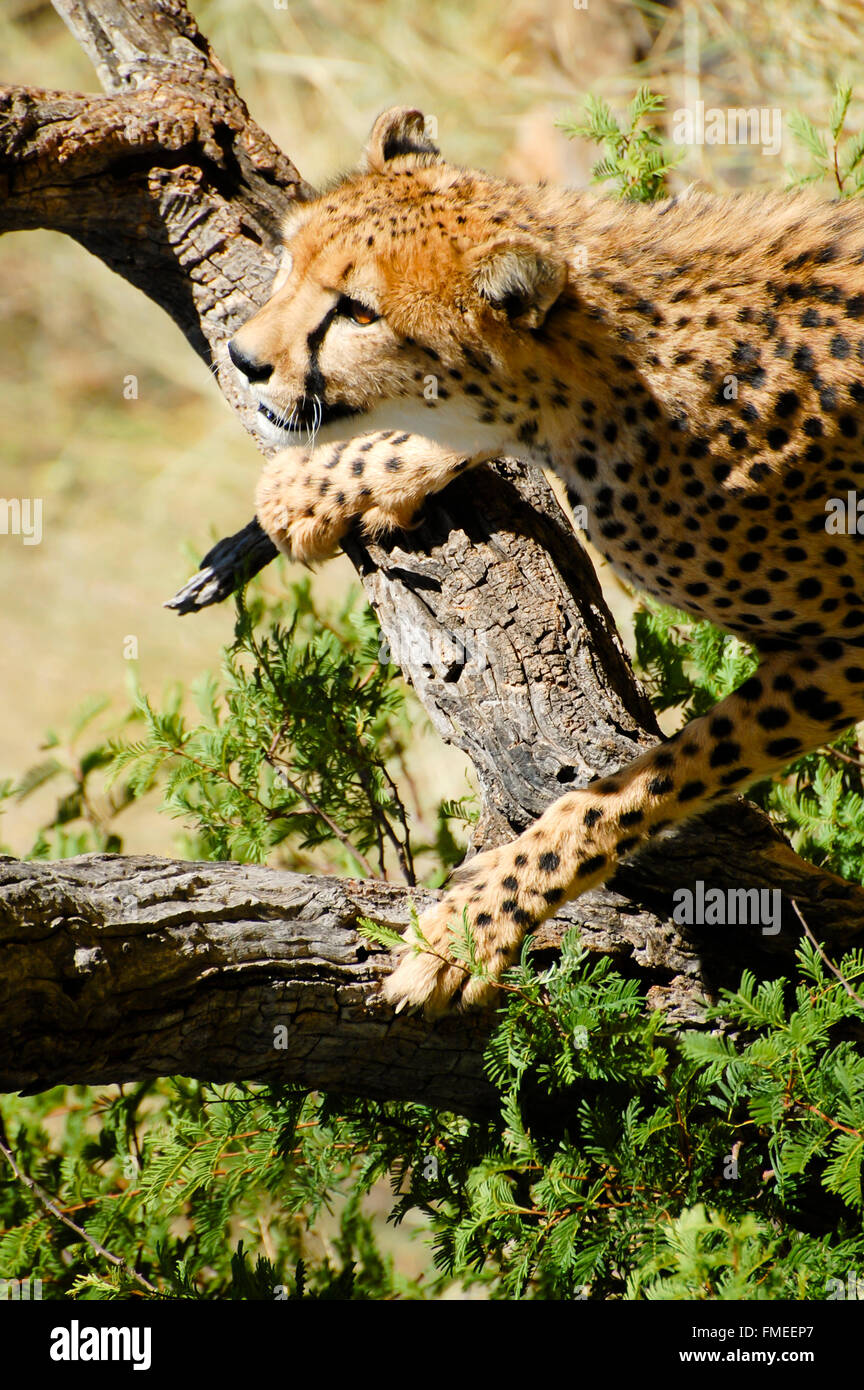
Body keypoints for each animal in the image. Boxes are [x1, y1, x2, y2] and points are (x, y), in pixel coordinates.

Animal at [228, 105, 864, 1017]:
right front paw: (325, 484)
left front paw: (471, 928)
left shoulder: (843, 649)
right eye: (289, 257)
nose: (243, 359)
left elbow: (627, 791)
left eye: (358, 312)